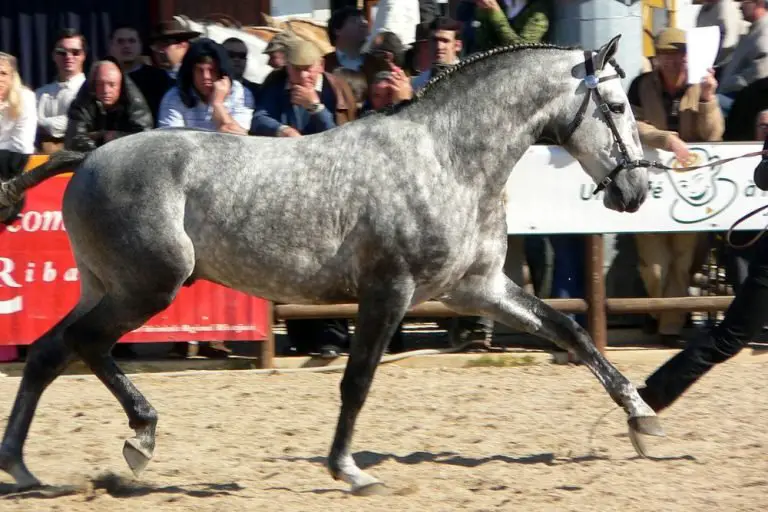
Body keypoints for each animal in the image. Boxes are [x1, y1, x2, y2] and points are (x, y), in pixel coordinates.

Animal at [0, 36, 663, 495]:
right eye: (617, 104)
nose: (634, 192)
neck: (446, 158)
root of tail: (91, 155)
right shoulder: (390, 290)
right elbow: (358, 379)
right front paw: (350, 470)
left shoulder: (475, 289)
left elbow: (570, 331)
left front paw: (643, 418)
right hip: (148, 288)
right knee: (83, 345)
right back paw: (138, 436)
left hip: (106, 287)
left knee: (49, 352)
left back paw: (24, 466)